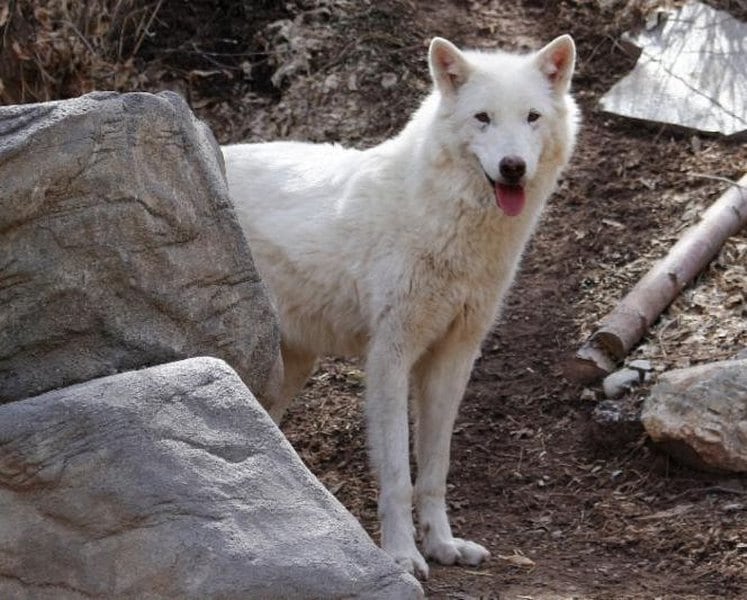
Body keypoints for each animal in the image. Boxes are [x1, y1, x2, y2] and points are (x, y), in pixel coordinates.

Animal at [221, 34, 579, 578]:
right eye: (483, 118)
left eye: (532, 117)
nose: (513, 167)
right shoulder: (390, 356)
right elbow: (397, 474)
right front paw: (401, 554)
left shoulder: (453, 358)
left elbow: (434, 469)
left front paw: (443, 545)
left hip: (291, 366)